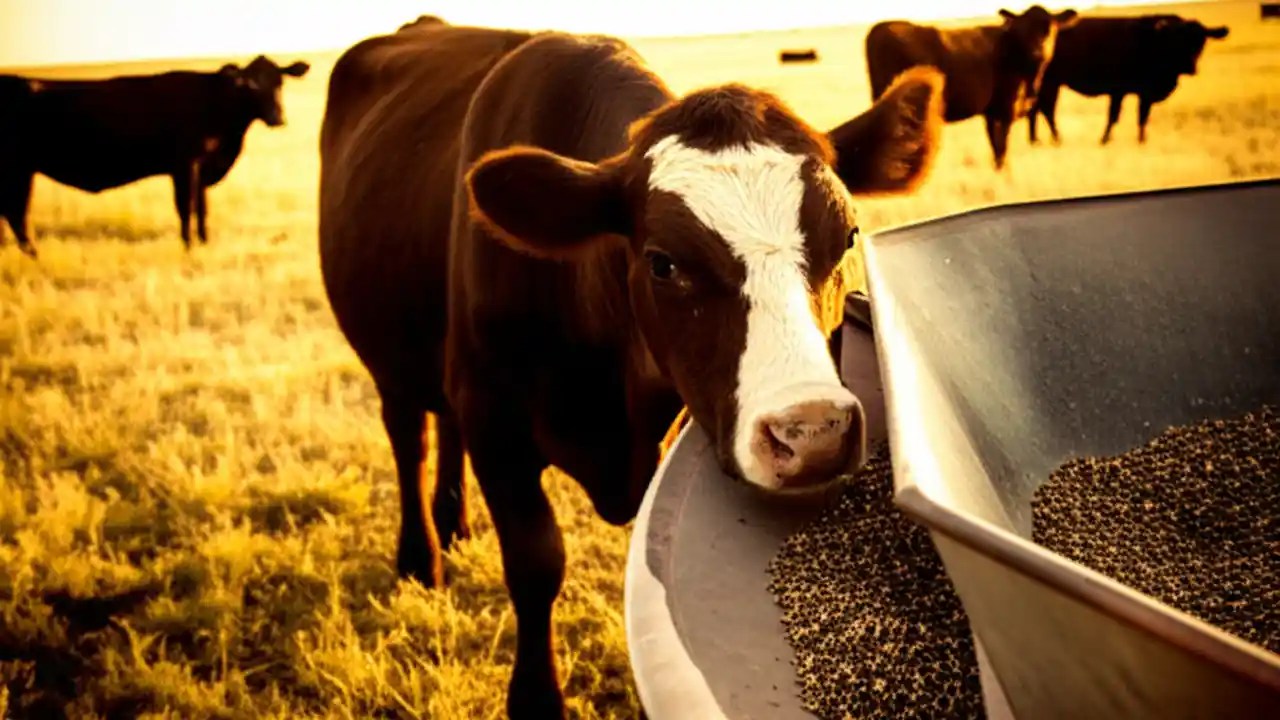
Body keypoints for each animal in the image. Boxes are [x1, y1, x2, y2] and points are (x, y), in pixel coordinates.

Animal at [0, 55, 309, 258]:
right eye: (250, 86)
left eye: (280, 82)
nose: (278, 118)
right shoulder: (186, 164)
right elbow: (186, 207)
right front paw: (188, 246)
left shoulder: (202, 167)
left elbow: (202, 208)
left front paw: (204, 242)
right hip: (17, 169)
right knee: (17, 214)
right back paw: (34, 254)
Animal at [318, 20, 945, 720]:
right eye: (663, 262)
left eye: (848, 236)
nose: (811, 434)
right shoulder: (493, 419)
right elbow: (536, 562)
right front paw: (536, 699)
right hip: (385, 353)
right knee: (410, 438)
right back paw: (420, 556)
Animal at [865, 4, 1079, 169]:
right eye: (1023, 31)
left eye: (1049, 28)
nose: (1038, 52)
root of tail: (882, 27)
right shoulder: (1006, 108)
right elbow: (1002, 146)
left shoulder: (991, 111)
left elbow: (995, 145)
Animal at [1028, 15, 1230, 145]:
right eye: (1177, 40)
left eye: (1201, 41)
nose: (1191, 67)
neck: (1156, 40)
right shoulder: (1119, 91)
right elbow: (1114, 117)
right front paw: (1104, 140)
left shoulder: (1144, 95)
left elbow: (1142, 118)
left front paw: (1141, 140)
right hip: (1049, 84)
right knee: (1046, 110)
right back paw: (1056, 139)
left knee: (1036, 110)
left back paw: (1035, 140)